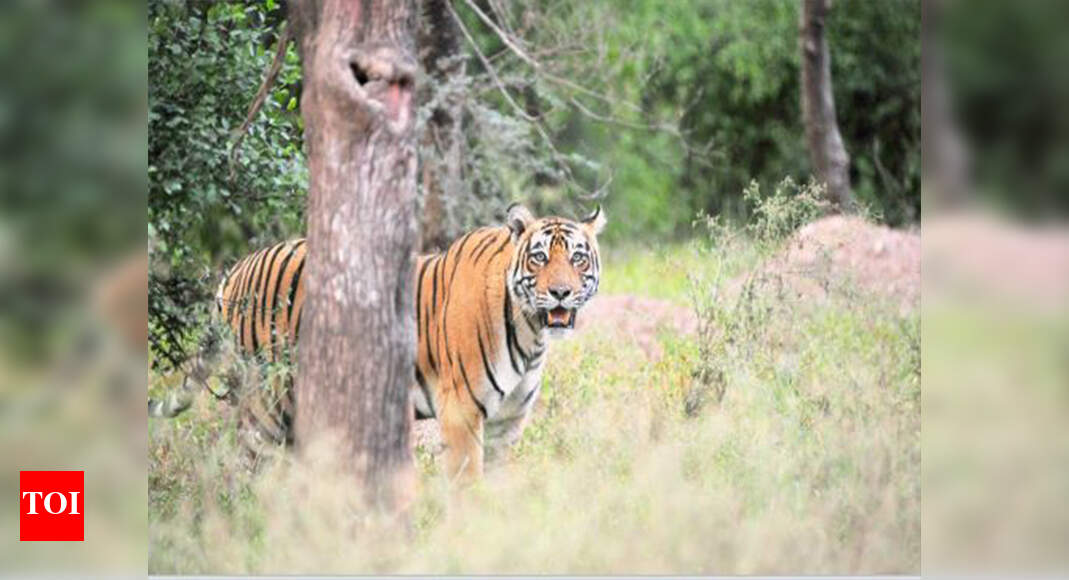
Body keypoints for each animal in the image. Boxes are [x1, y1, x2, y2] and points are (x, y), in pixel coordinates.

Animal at [152, 204, 605, 481]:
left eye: (577, 258)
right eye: (539, 258)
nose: (561, 292)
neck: (531, 335)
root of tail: (234, 271)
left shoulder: (506, 425)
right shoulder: (461, 411)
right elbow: (467, 484)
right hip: (265, 404)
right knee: (243, 467)